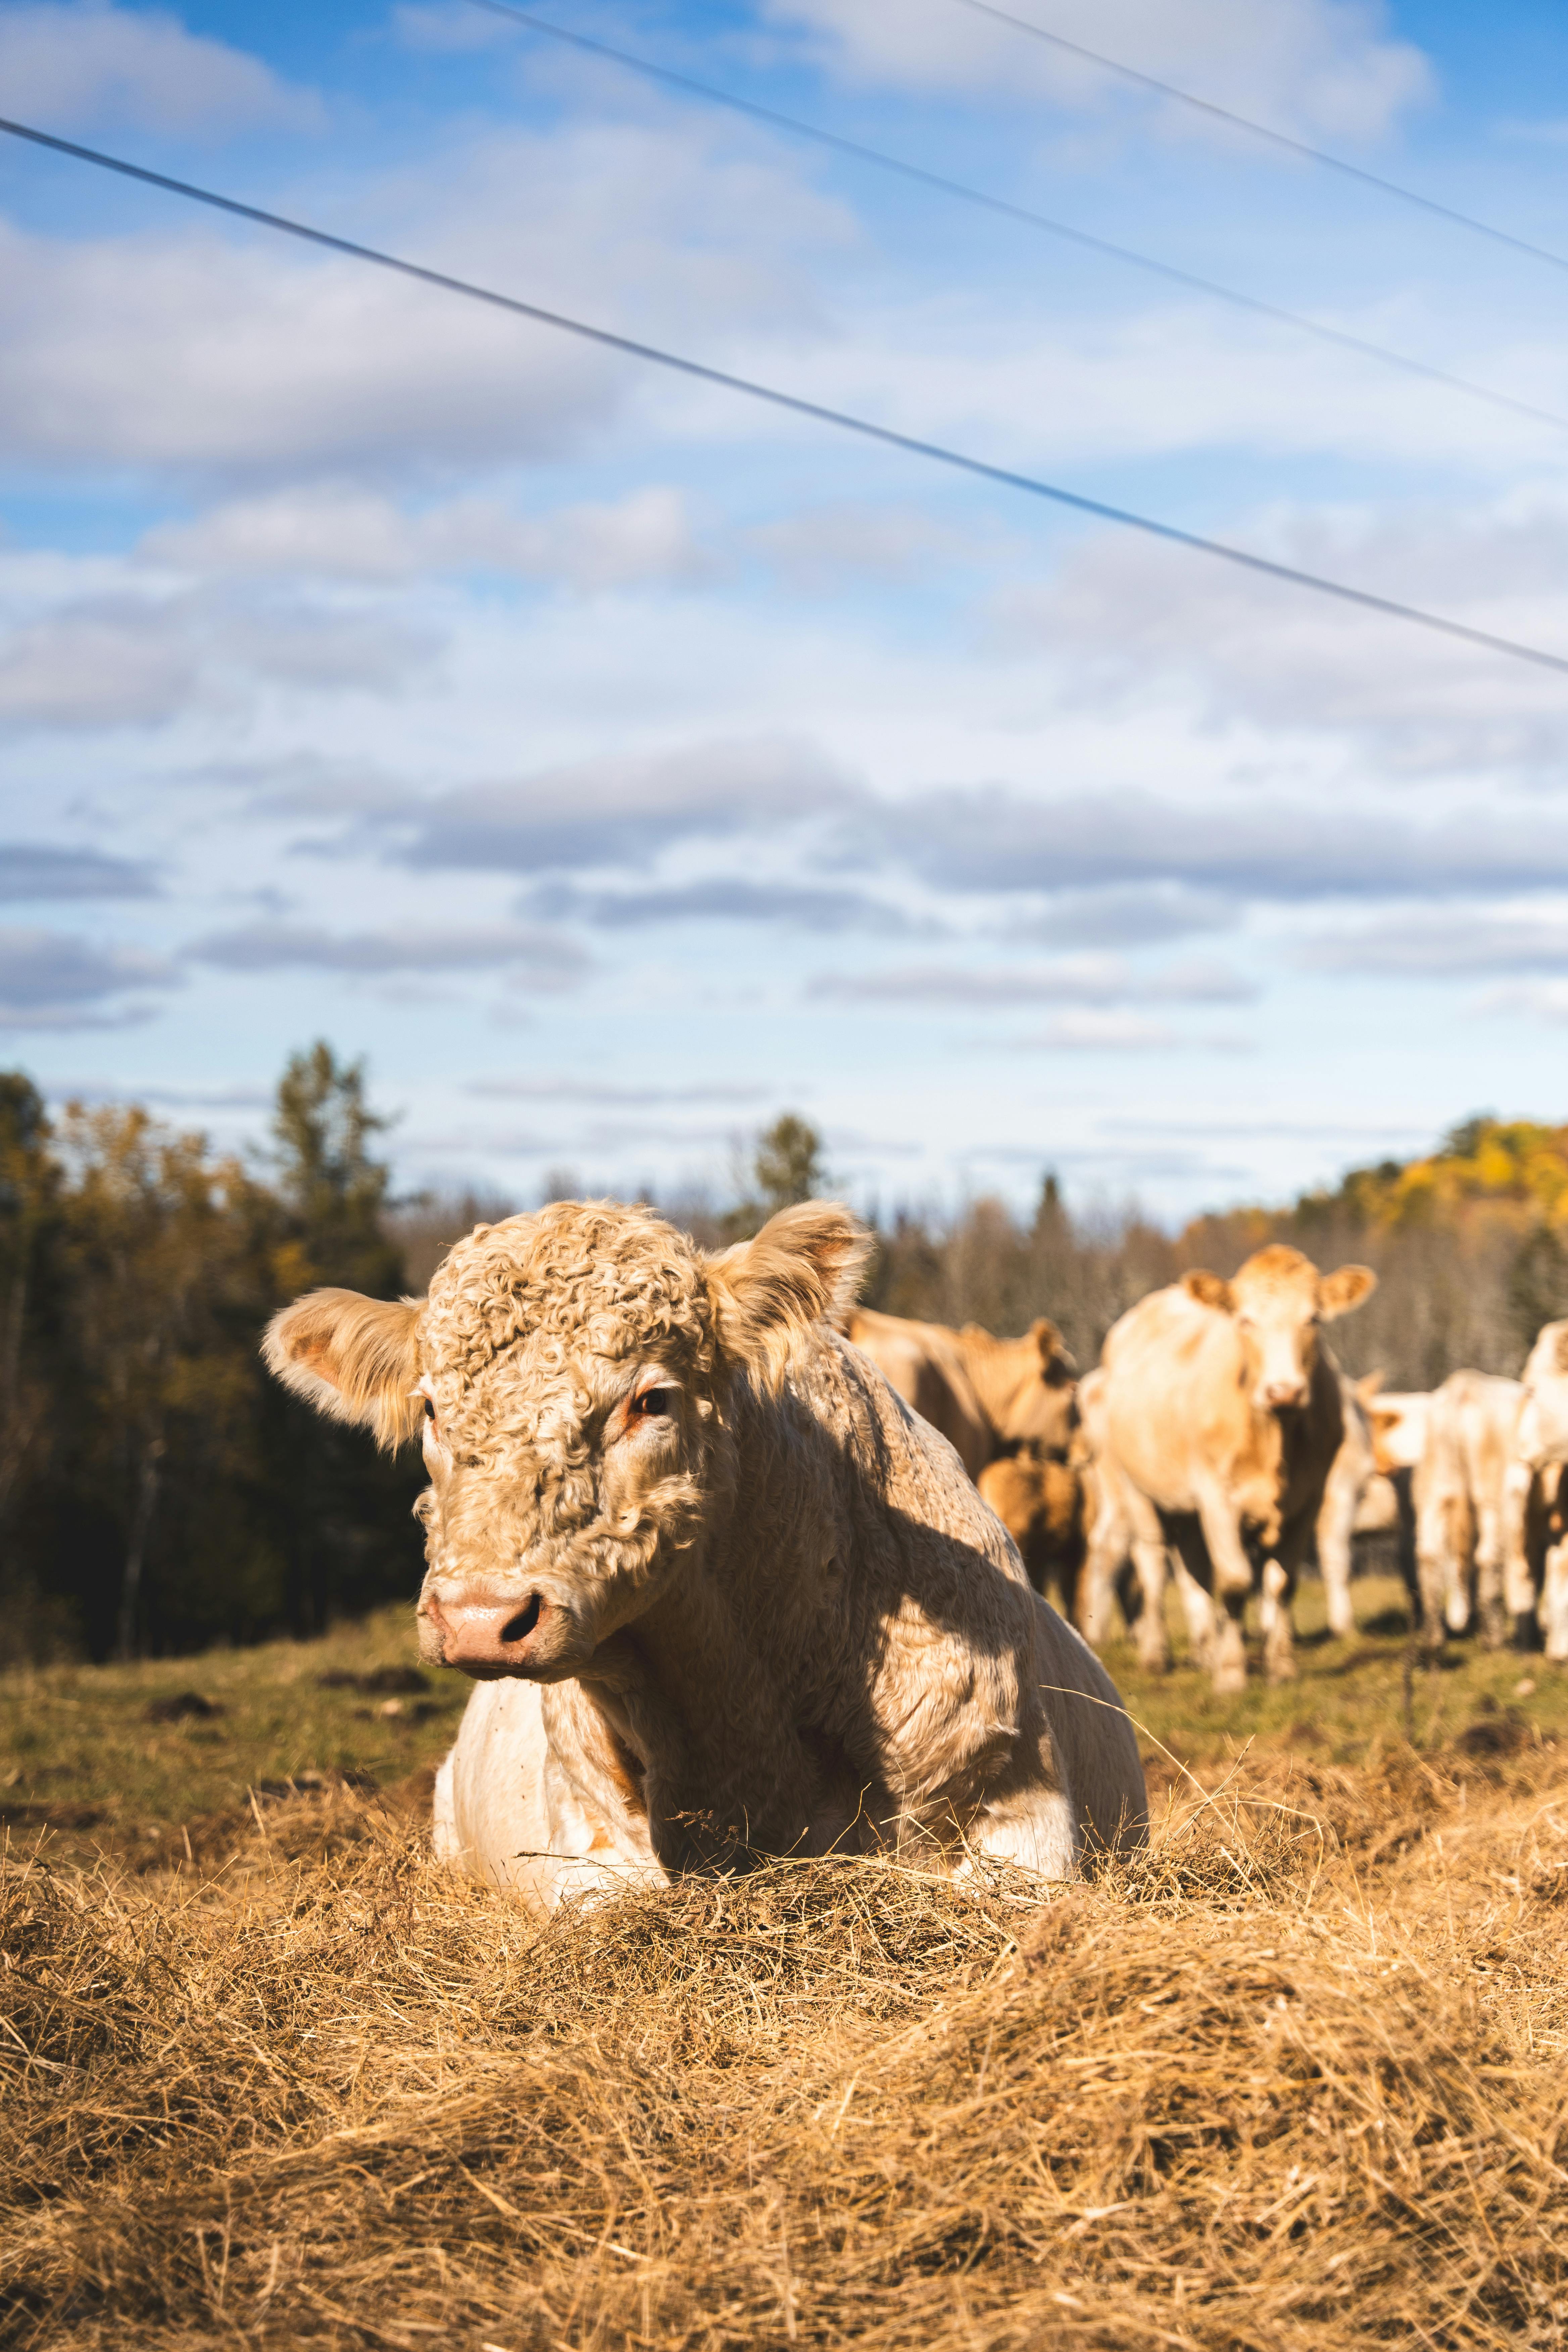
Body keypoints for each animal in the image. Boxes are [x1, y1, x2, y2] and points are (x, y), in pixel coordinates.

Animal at [1092, 1244, 1376, 1692]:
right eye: (1245, 1321)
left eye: (1312, 1319)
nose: (1284, 1391)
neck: (1274, 1439)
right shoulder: (1217, 1497)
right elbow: (1235, 1580)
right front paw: (1230, 1674)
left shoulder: (1309, 1499)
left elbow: (1281, 1583)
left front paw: (1280, 1667)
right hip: (1135, 1489)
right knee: (1152, 1565)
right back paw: (1157, 1655)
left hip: (1188, 1508)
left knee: (1192, 1568)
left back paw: (1206, 1649)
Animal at [1413, 1370, 1523, 1648]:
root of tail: (1463, 1386)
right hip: (1492, 1497)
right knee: (1489, 1557)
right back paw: (1493, 1638)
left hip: (1432, 1493)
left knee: (1430, 1556)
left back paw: (1434, 1636)